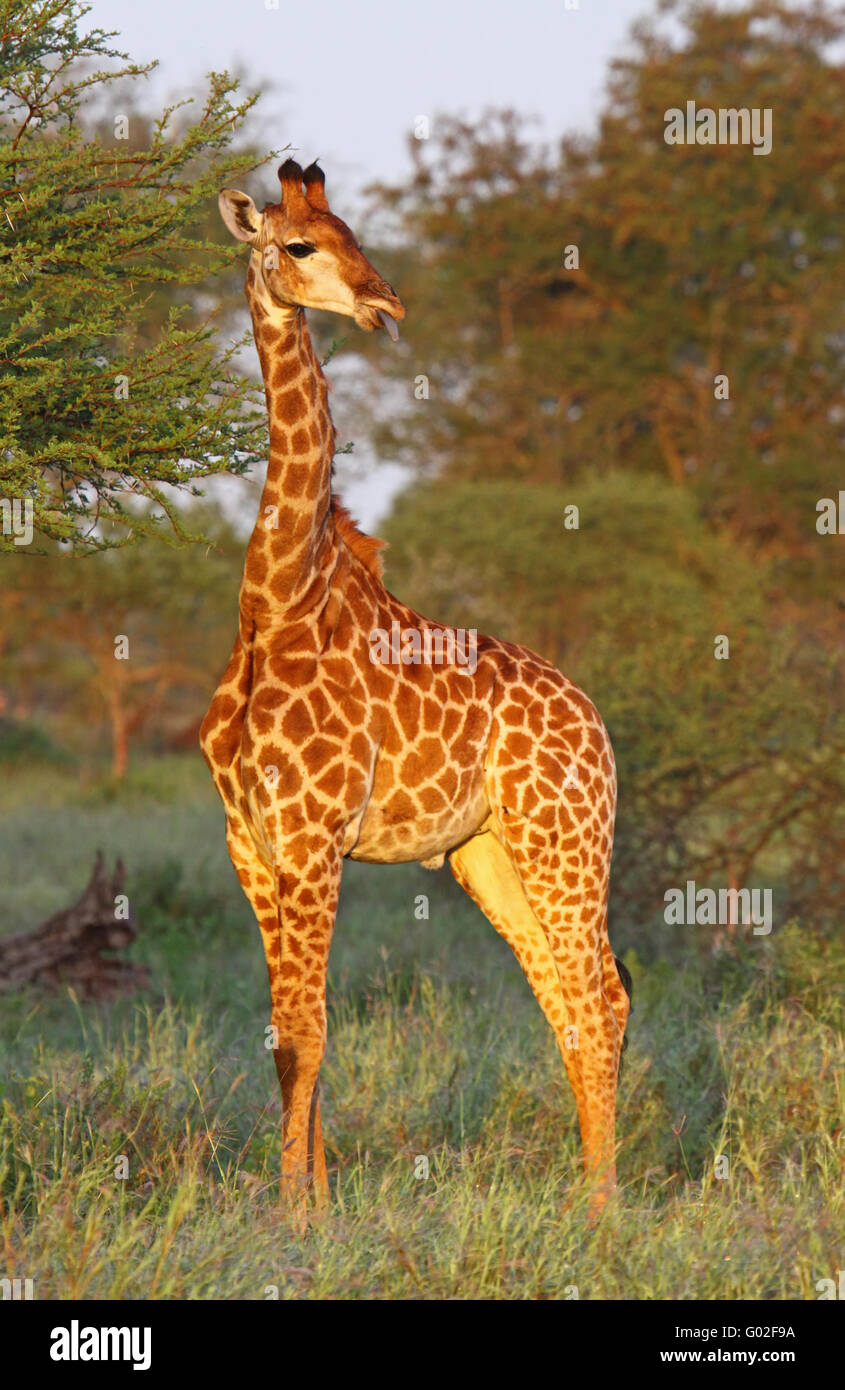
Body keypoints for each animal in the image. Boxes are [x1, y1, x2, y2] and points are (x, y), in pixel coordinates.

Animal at [201, 157, 632, 1218]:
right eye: (300, 244)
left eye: (356, 234)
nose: (385, 302)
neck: (274, 603)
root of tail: (595, 724)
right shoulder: (250, 841)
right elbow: (290, 1033)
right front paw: (312, 1208)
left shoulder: (314, 838)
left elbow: (304, 1035)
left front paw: (292, 1218)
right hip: (490, 855)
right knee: (566, 997)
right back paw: (585, 1196)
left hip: (566, 842)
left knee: (600, 994)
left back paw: (604, 1210)